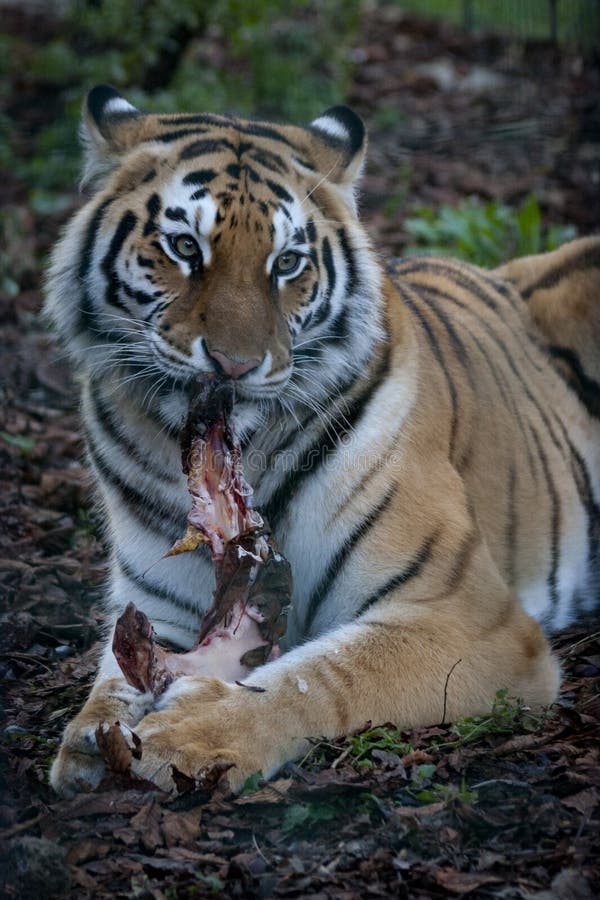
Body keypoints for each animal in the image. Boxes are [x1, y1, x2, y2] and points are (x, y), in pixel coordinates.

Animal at [46, 84, 600, 797]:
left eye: (286, 263)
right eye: (185, 247)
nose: (234, 364)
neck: (251, 458)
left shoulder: (468, 617)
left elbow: (321, 675)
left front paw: (192, 734)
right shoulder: (160, 608)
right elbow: (116, 675)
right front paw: (89, 741)